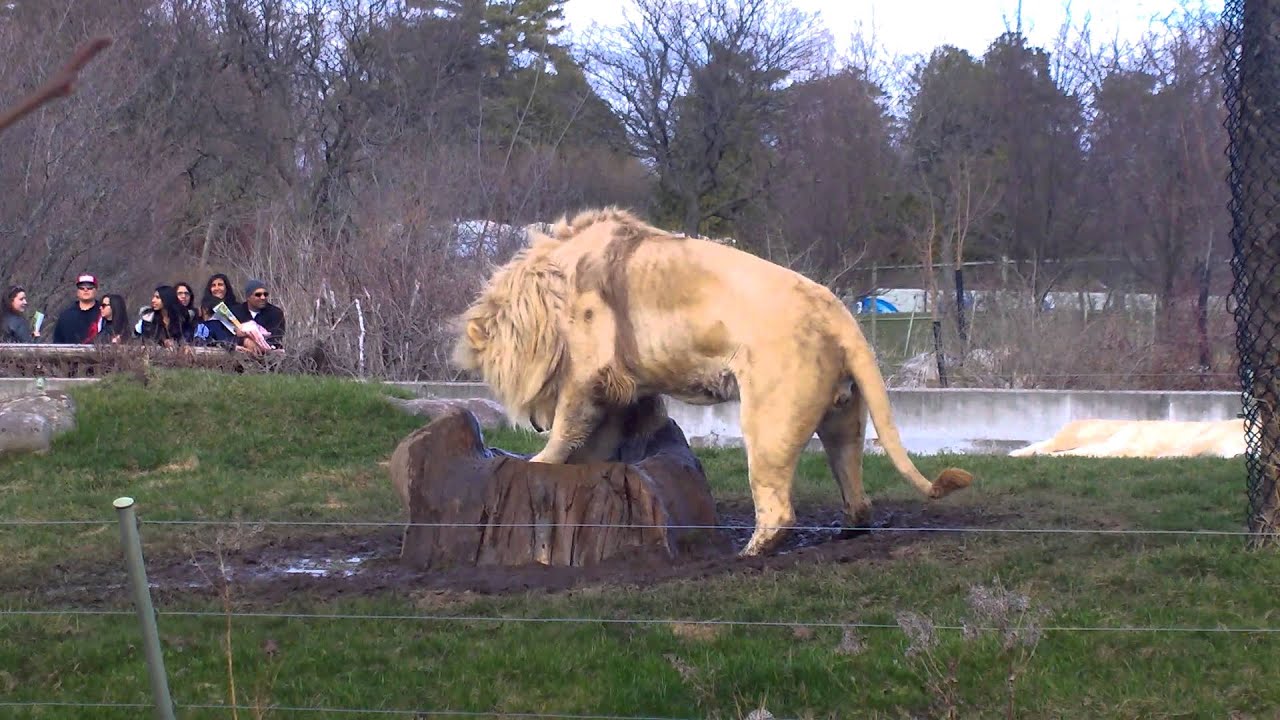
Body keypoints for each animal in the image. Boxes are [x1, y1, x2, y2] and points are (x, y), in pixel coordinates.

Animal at [451, 206, 973, 556]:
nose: (532, 422)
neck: (548, 289)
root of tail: (842, 316)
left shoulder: (588, 371)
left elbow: (569, 426)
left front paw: (537, 458)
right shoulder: (625, 386)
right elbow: (608, 434)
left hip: (770, 414)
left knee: (778, 507)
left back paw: (749, 553)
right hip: (844, 413)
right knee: (851, 475)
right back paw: (850, 530)